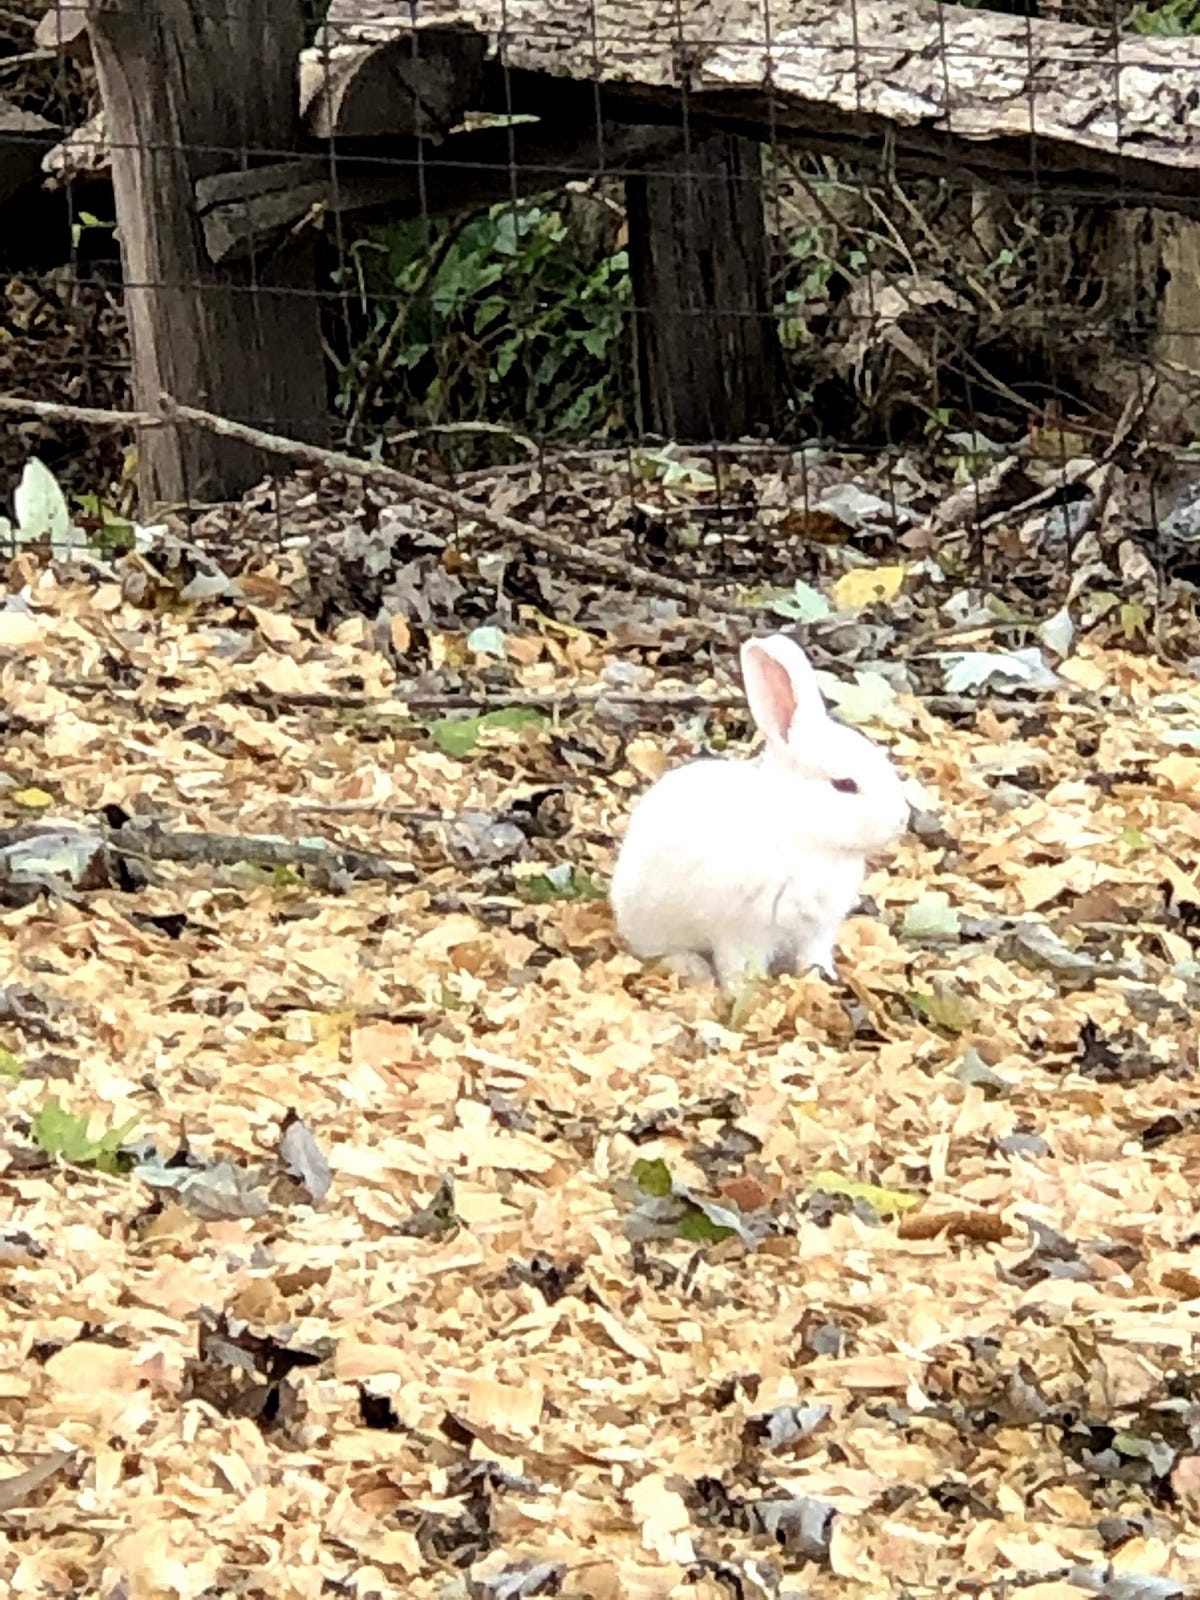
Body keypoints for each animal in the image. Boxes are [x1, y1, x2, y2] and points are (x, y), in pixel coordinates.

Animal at [610, 632, 910, 990]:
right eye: (845, 784)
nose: (902, 818)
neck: (801, 831)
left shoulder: (816, 931)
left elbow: (813, 957)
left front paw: (822, 980)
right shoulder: (741, 932)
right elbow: (739, 968)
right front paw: (745, 991)